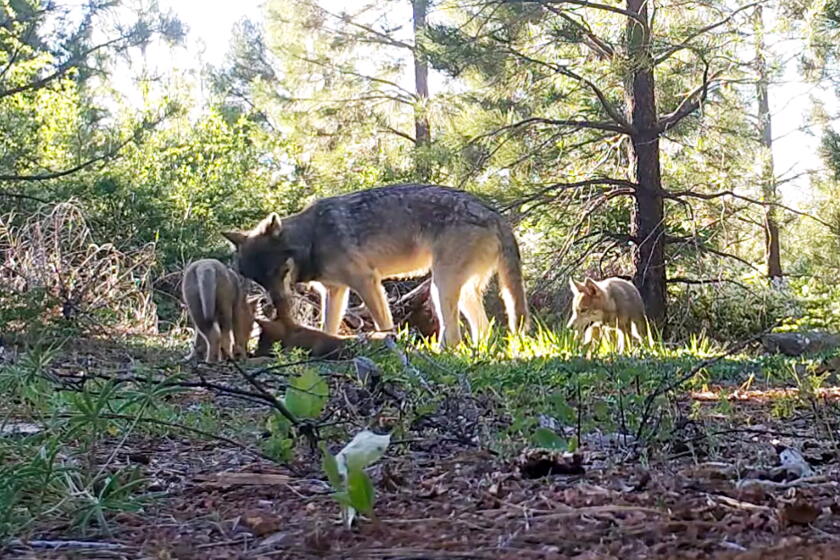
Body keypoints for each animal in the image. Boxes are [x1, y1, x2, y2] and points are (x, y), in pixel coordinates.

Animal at [222, 184, 529, 347]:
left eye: (277, 272)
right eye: (259, 281)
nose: (277, 304)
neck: (312, 238)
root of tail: (495, 214)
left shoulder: (367, 281)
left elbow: (384, 322)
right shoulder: (334, 292)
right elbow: (327, 326)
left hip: (440, 288)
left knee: (454, 336)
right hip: (458, 292)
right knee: (484, 330)